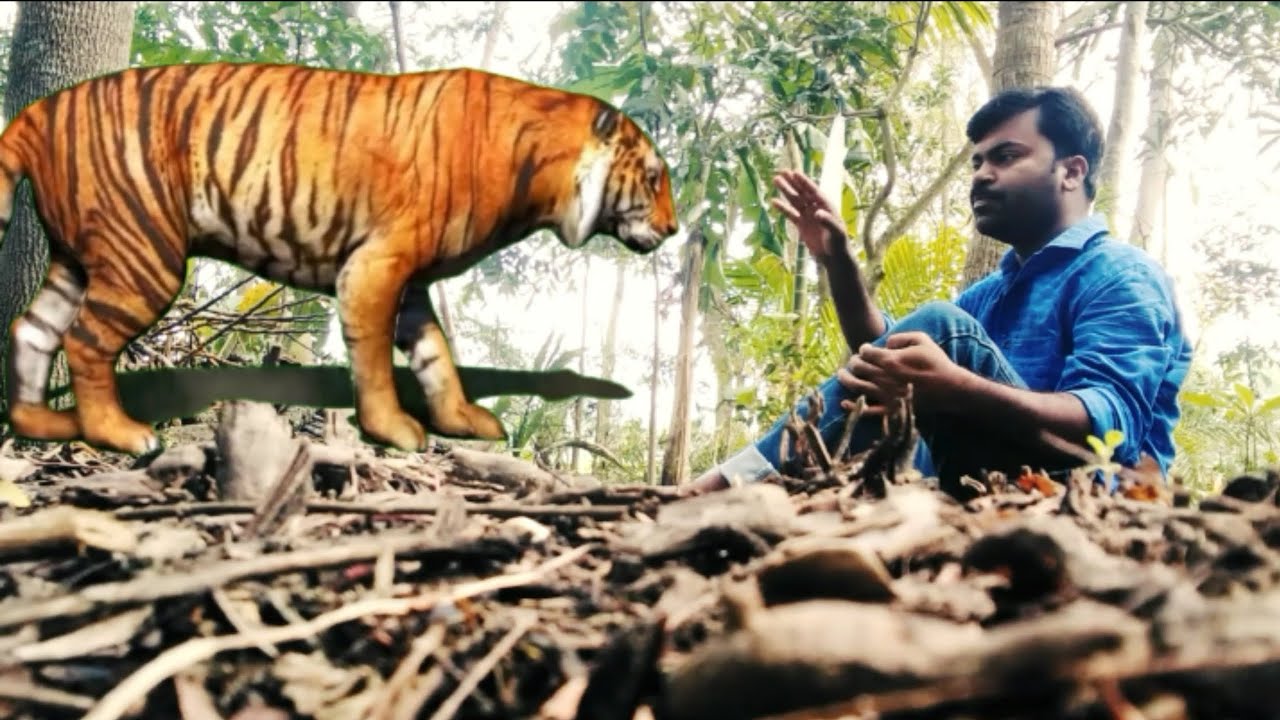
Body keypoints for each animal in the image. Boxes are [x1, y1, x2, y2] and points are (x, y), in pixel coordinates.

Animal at [0, 62, 678, 456]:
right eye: (652, 177)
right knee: (84, 339)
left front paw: (460, 419)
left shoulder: (412, 284)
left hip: (81, 257)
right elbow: (374, 359)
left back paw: (40, 425)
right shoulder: (375, 267)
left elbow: (435, 356)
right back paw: (120, 435)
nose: (673, 229)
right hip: (143, 251)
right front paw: (393, 430)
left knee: (32, 329)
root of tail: (38, 110)